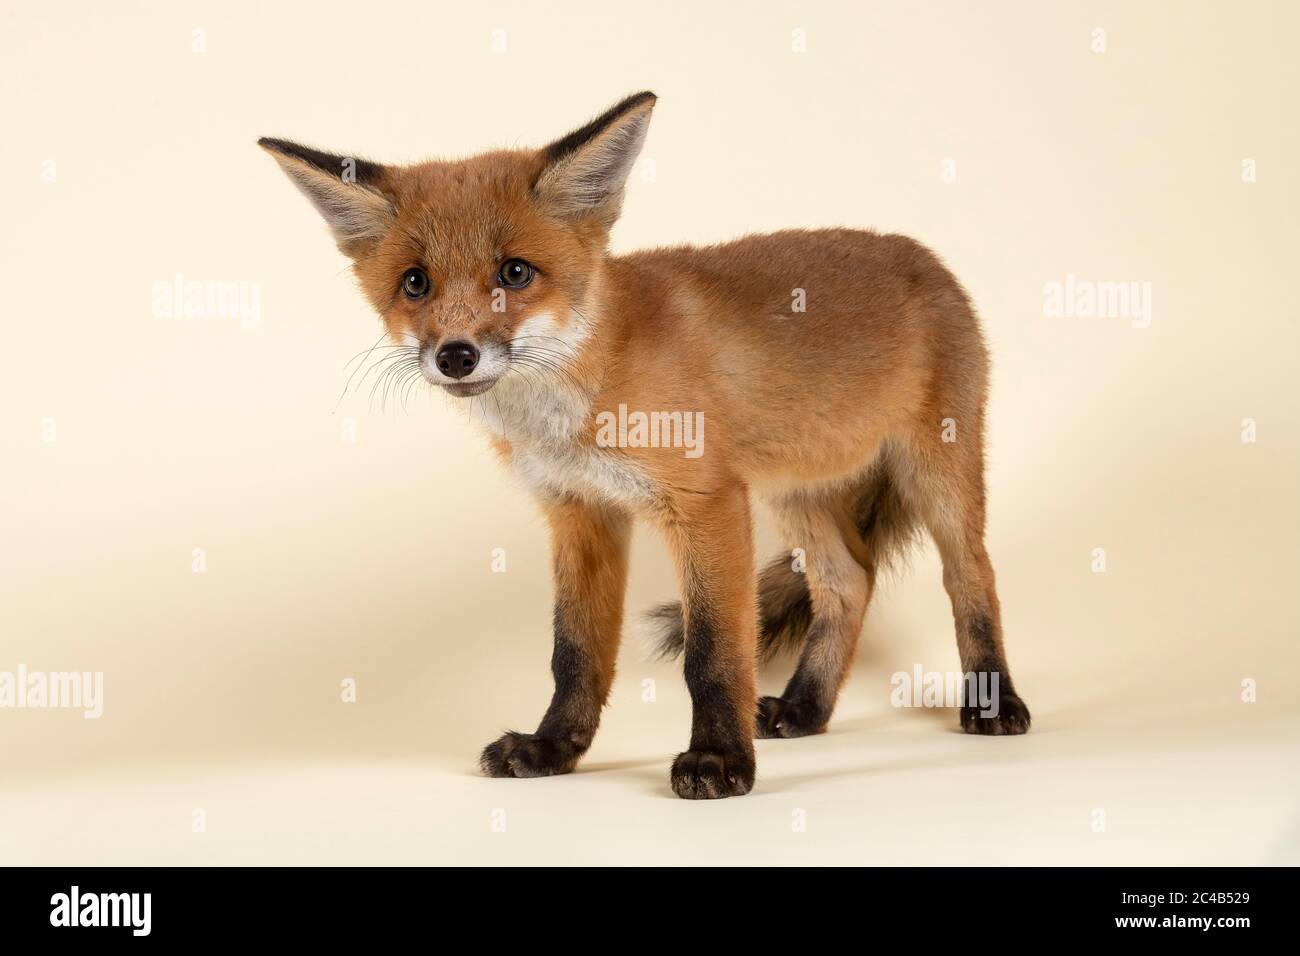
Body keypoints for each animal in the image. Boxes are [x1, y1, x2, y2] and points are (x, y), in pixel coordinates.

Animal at [259, 91, 1030, 800]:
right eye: (414, 283)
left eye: (515, 273)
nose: (455, 356)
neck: (584, 399)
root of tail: (920, 253)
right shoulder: (580, 512)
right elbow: (575, 654)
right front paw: (553, 749)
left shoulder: (707, 503)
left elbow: (713, 653)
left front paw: (719, 759)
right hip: (796, 493)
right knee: (849, 581)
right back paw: (807, 708)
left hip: (937, 475)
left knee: (972, 578)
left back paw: (994, 701)